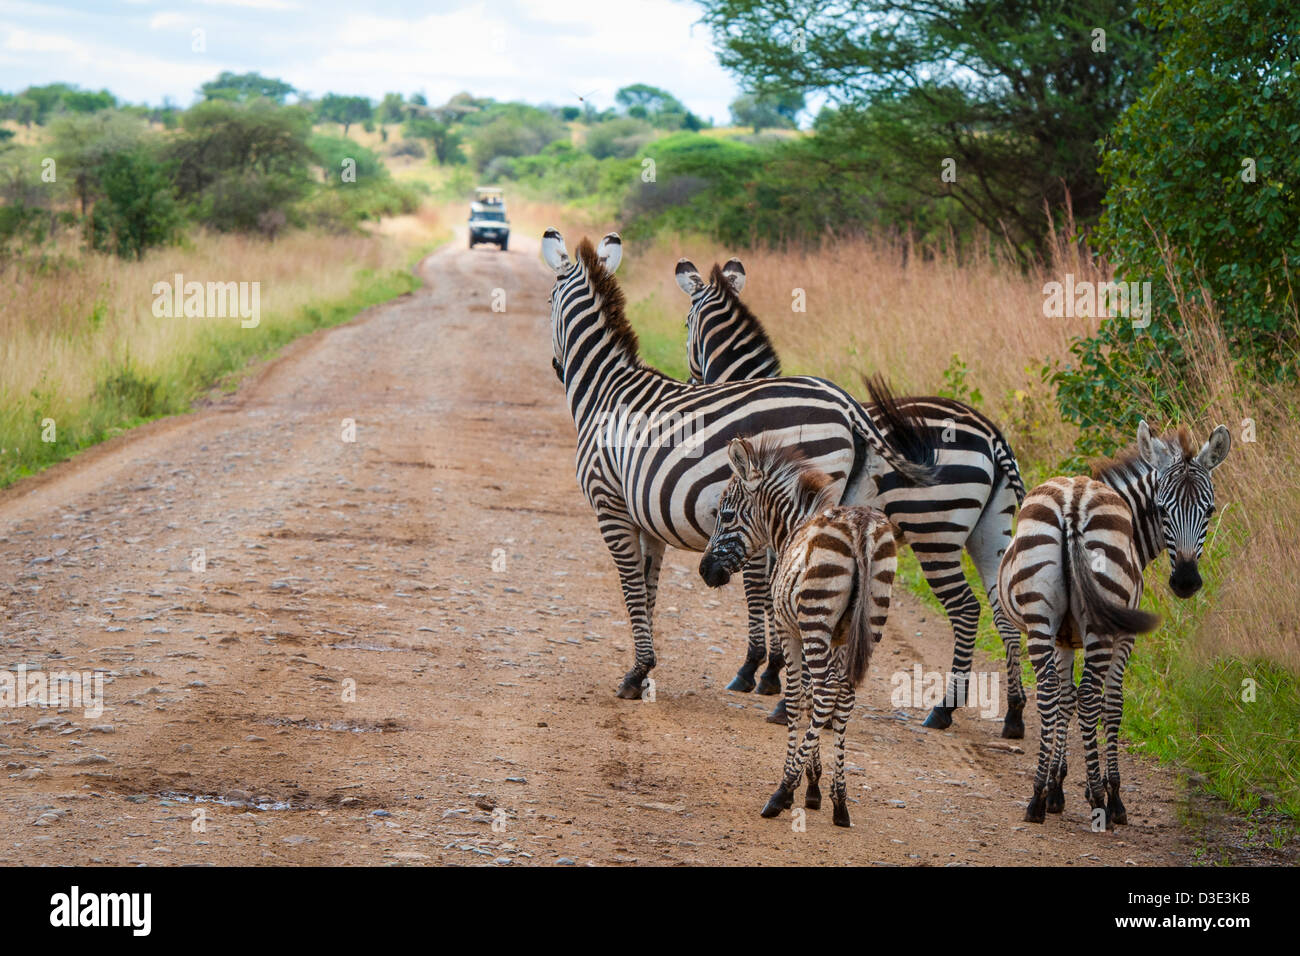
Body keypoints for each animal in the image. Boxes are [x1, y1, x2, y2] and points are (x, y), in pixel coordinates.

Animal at [541, 228, 939, 699]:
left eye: (549, 301)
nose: (557, 367)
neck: (607, 390)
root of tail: (845, 403)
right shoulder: (647, 518)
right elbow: (650, 588)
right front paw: (648, 668)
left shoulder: (611, 506)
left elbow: (633, 587)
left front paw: (638, 673)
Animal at [676, 258, 1028, 737]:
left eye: (686, 324)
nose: (690, 383)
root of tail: (992, 435)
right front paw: (774, 673)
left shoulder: (768, 521)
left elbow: (759, 588)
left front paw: (758, 671)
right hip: (989, 532)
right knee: (1003, 613)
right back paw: (1014, 714)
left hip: (935, 531)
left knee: (966, 608)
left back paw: (945, 708)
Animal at [699, 437, 898, 827]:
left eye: (725, 516)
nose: (705, 571)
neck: (792, 527)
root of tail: (861, 527)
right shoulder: (838, 639)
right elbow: (820, 700)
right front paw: (819, 786)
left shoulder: (788, 628)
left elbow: (796, 698)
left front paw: (803, 782)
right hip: (871, 621)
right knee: (843, 696)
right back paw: (841, 803)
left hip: (816, 618)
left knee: (824, 693)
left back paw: (780, 793)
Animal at [998, 420, 1230, 828]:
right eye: (1161, 509)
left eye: (1210, 510)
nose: (1186, 581)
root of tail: (1073, 504)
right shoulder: (1124, 637)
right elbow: (1112, 703)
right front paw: (1111, 793)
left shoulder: (1063, 637)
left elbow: (1065, 698)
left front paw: (1055, 788)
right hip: (1101, 625)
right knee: (1093, 696)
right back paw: (1100, 799)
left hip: (1040, 618)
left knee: (1048, 693)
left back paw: (1036, 798)